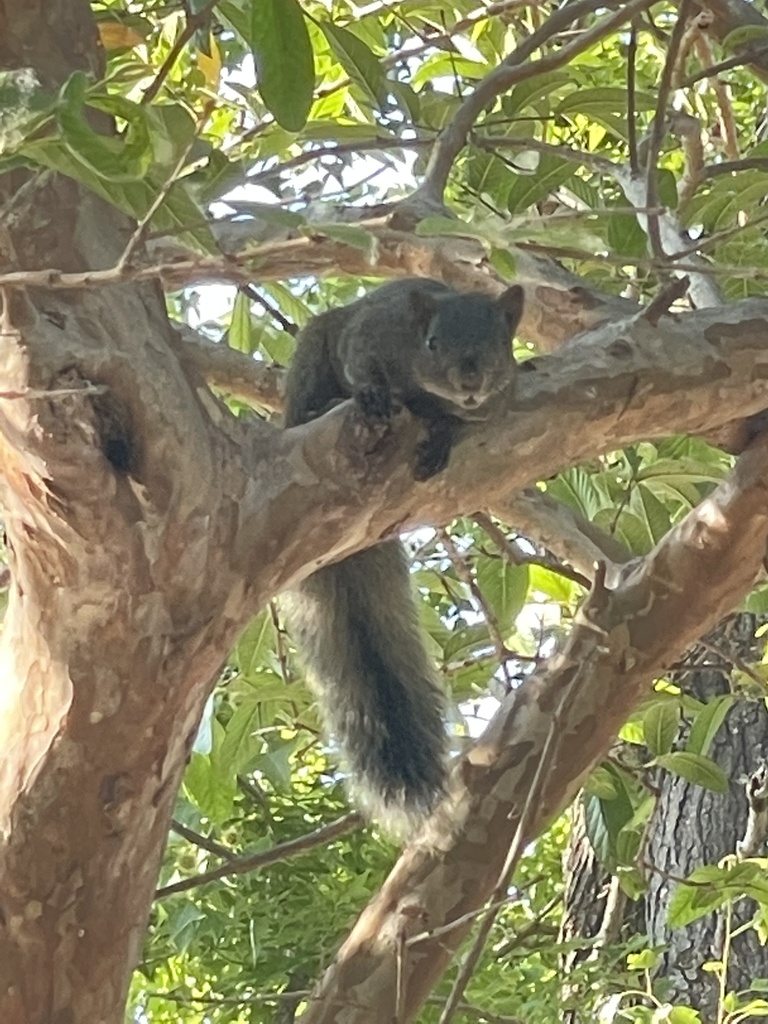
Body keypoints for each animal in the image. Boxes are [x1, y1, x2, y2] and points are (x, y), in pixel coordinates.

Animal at [283, 277, 524, 827]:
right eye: (432, 343)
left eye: (501, 343)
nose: (470, 379)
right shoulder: (369, 334)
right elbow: (361, 367)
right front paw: (373, 392)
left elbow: (455, 423)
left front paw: (441, 438)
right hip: (309, 356)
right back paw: (314, 409)